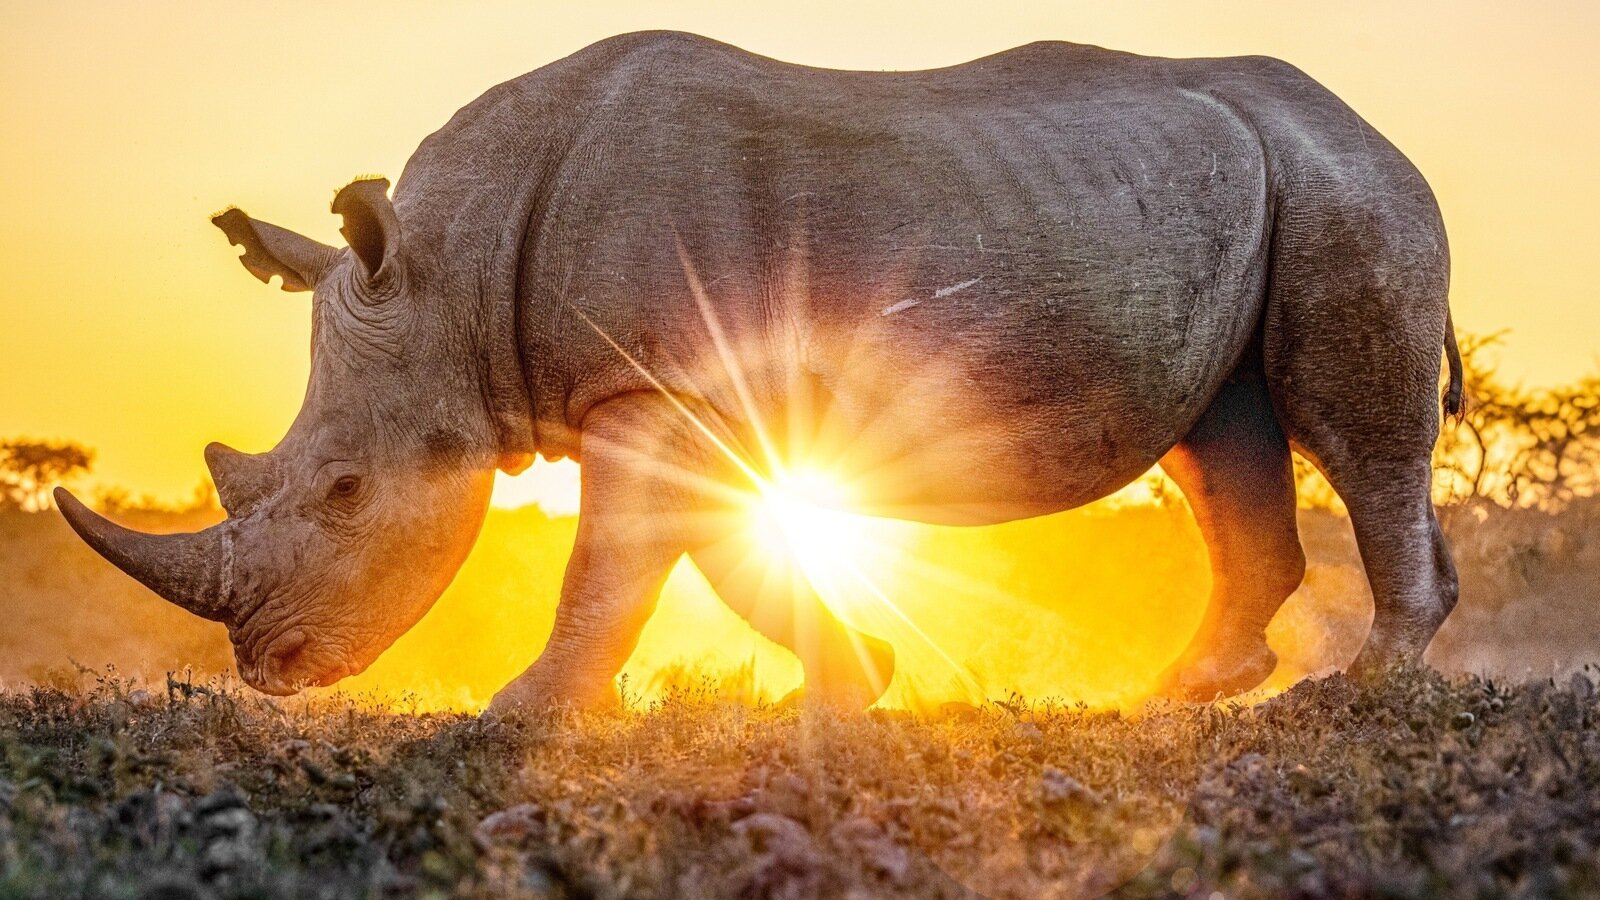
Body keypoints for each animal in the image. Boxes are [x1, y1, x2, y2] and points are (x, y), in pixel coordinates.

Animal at [57, 31, 1462, 708]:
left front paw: (517, 716)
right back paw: (1186, 693)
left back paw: (1344, 696)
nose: (268, 669)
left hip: (1346, 187)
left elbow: (617, 565)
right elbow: (723, 554)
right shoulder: (688, 391)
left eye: (345, 493)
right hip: (1249, 185)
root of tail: (1368, 129)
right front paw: (864, 677)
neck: (453, 271)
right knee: (1226, 434)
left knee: (1347, 431)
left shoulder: (649, 390)